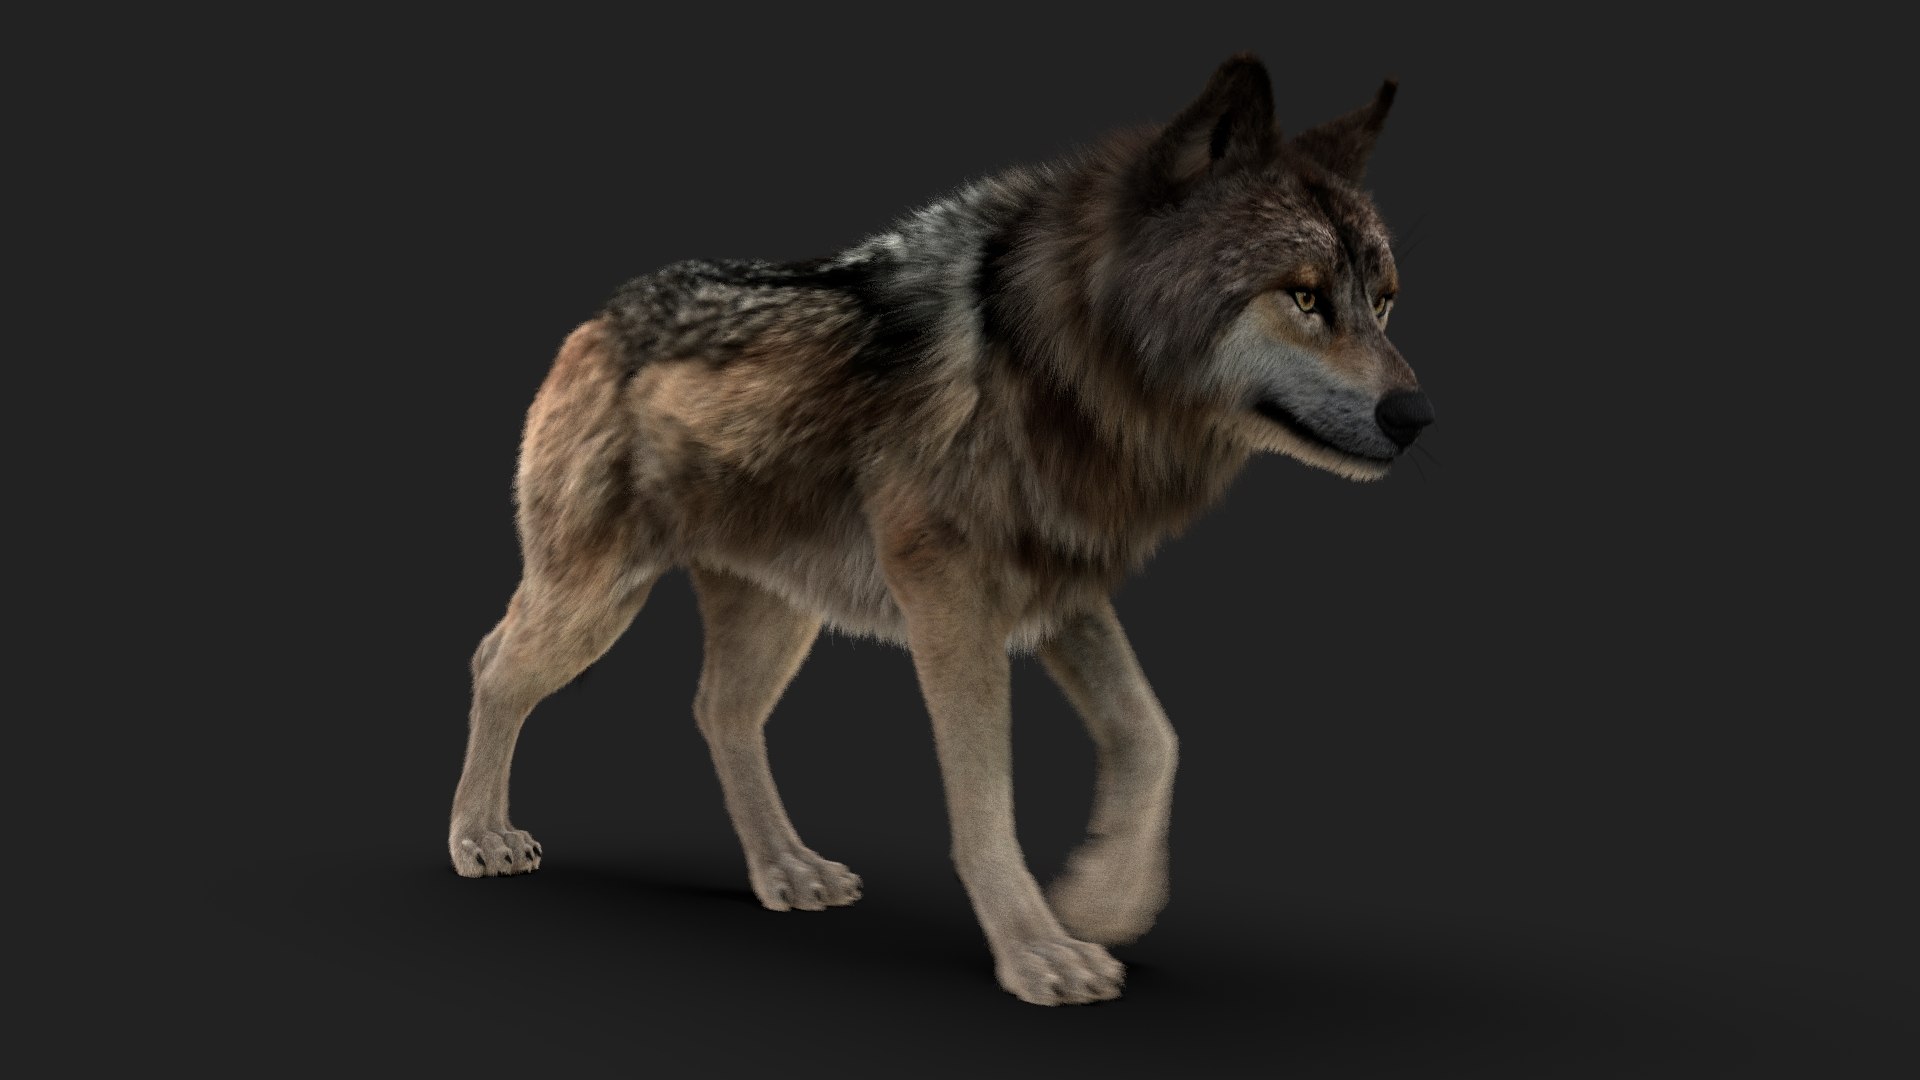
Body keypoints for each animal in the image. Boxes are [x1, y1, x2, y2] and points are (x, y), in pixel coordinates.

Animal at [447, 53, 1432, 1005]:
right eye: (1304, 297)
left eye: (1383, 301)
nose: (1417, 415)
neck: (1068, 361)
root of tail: (595, 320)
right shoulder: (952, 604)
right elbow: (985, 797)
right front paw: (1038, 951)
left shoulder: (1062, 586)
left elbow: (1155, 738)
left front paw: (1104, 897)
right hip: (595, 603)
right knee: (495, 662)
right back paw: (479, 835)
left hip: (780, 615)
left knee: (717, 709)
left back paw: (785, 869)